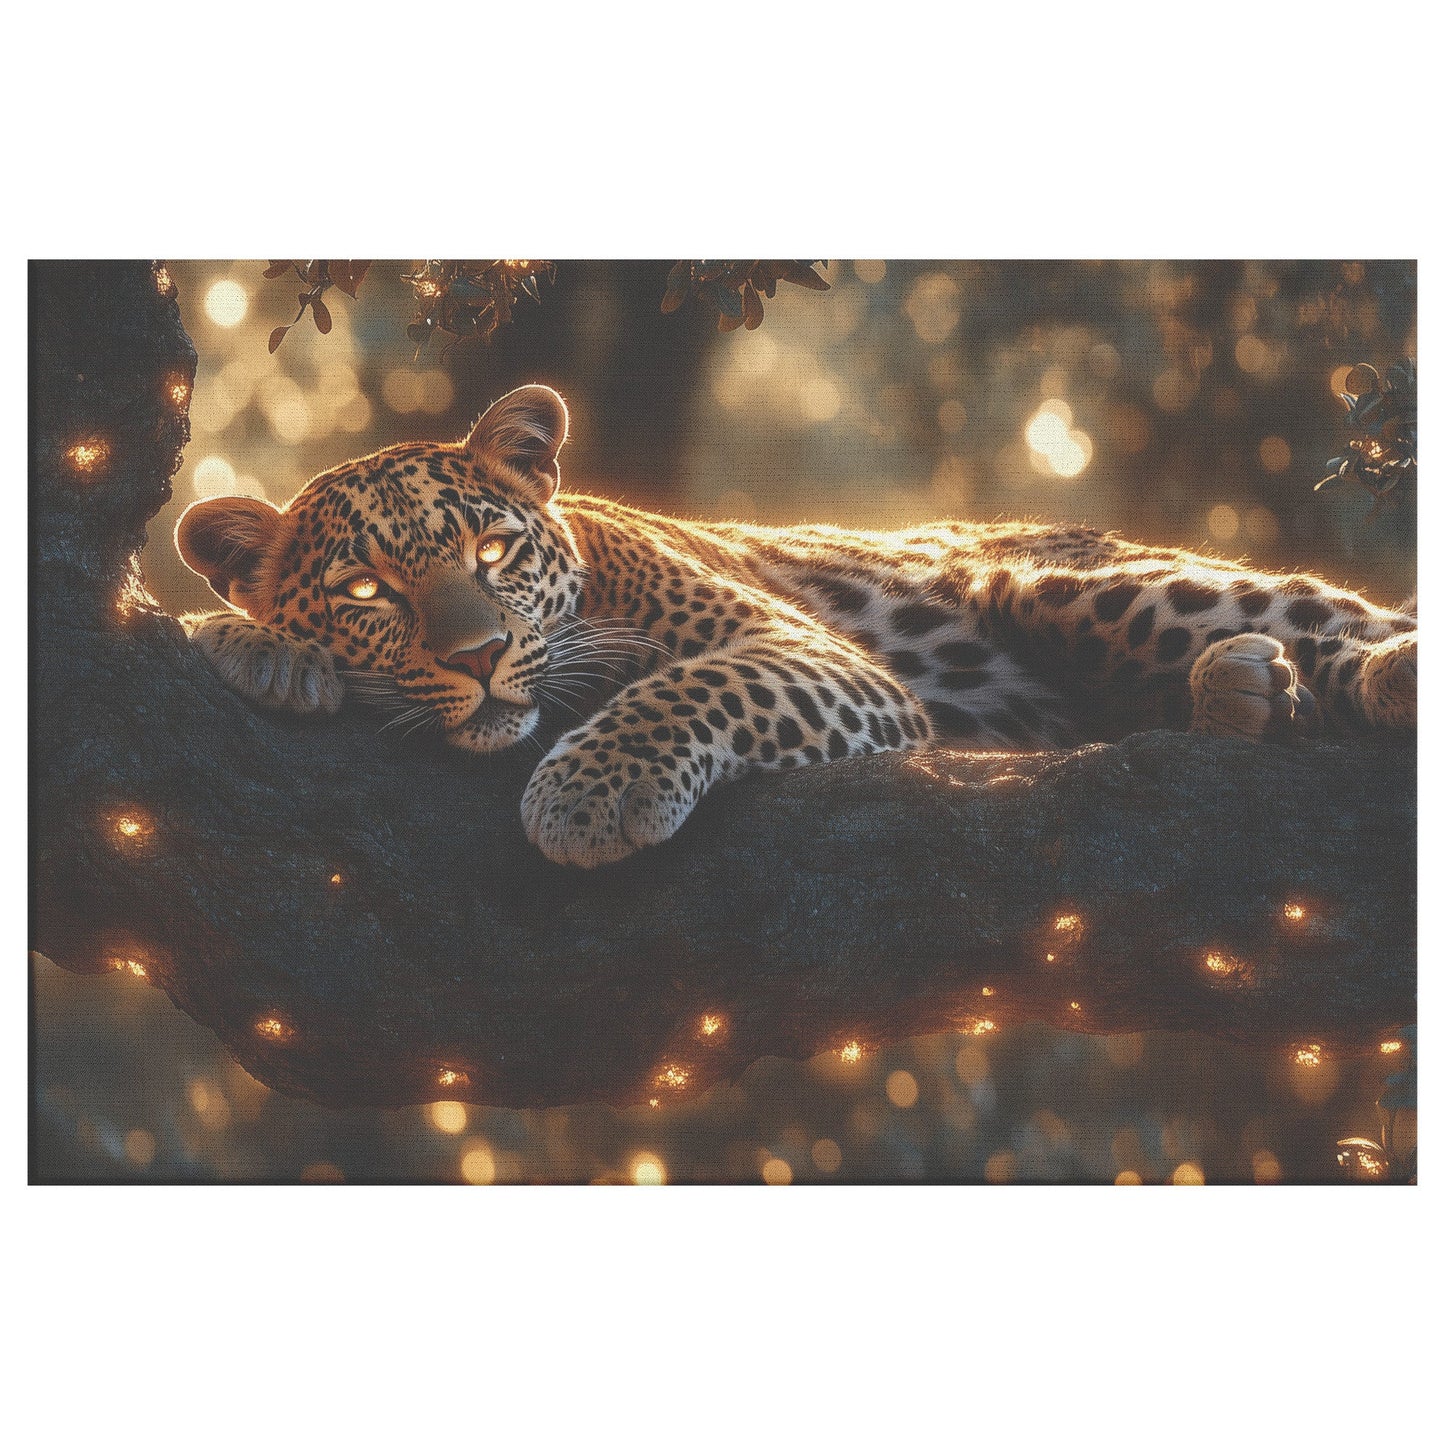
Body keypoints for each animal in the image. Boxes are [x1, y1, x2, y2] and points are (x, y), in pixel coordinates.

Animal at [175, 384, 1418, 868]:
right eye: (366, 594)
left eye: (490, 554)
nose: (477, 659)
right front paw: (260, 650)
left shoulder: (807, 650)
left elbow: (687, 687)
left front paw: (584, 793)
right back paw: (1246, 693)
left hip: (1066, 585)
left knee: (1341, 618)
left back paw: (1371, 674)